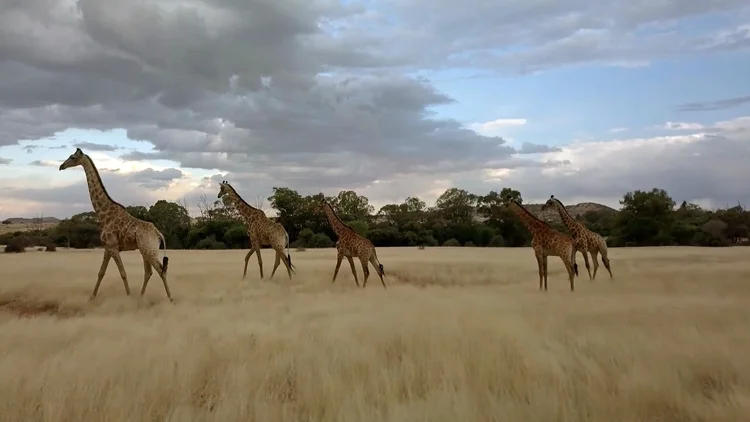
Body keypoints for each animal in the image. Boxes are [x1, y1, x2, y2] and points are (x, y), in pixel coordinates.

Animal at [58, 148, 174, 302]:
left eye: (72, 157)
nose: (61, 166)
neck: (103, 214)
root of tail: (159, 234)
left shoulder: (113, 247)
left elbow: (123, 272)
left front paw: (128, 296)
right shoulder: (107, 248)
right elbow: (101, 272)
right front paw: (92, 297)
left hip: (149, 250)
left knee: (161, 270)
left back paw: (170, 299)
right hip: (145, 250)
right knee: (149, 272)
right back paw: (141, 297)